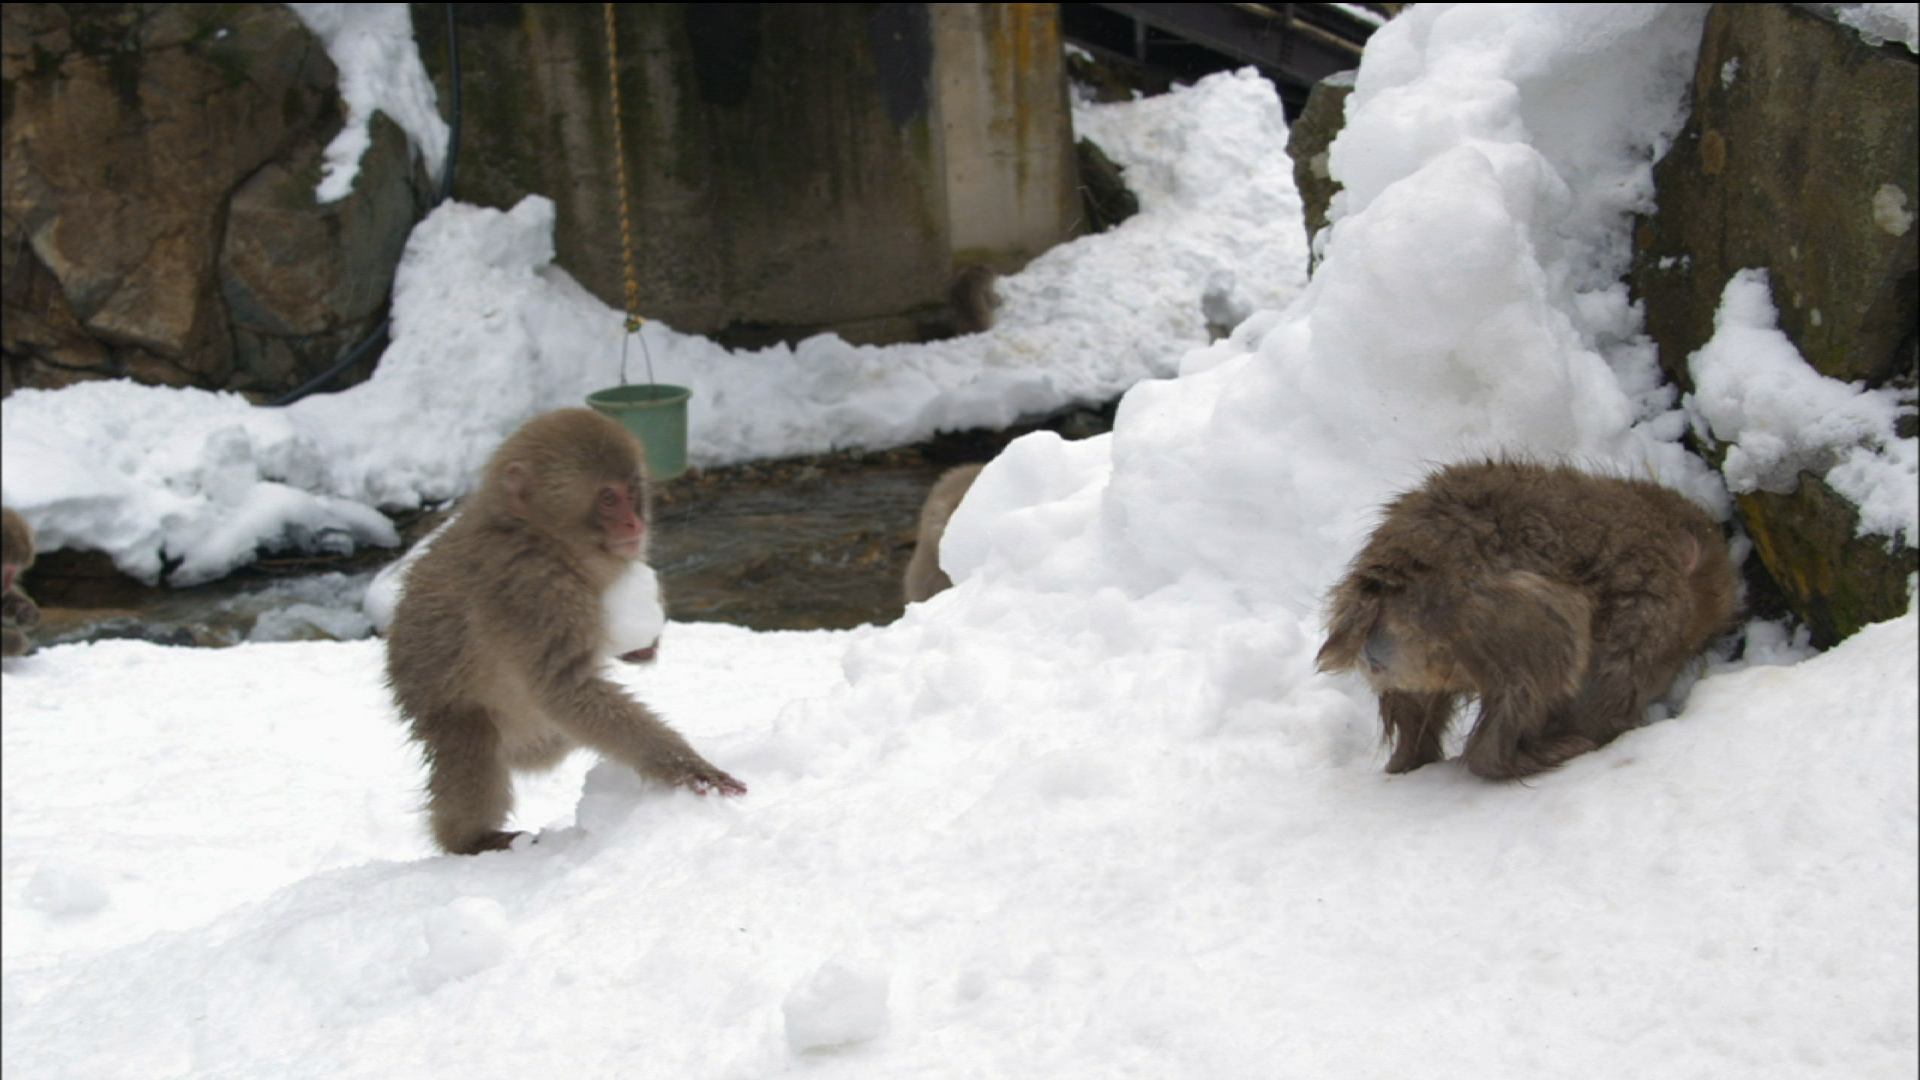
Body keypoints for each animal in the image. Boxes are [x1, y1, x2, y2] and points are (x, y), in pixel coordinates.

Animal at [385, 409, 745, 855]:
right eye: (608, 499)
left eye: (630, 491)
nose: (634, 523)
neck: (544, 537)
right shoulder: (533, 588)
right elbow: (565, 689)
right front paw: (685, 767)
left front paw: (640, 646)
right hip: (442, 708)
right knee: (473, 744)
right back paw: (472, 838)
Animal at [1316, 460, 1740, 780]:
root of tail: (1383, 590)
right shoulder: (1644, 614)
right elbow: (1600, 695)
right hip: (1499, 622)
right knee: (1552, 645)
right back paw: (1521, 757)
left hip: (1406, 671)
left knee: (1415, 712)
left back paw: (1410, 761)